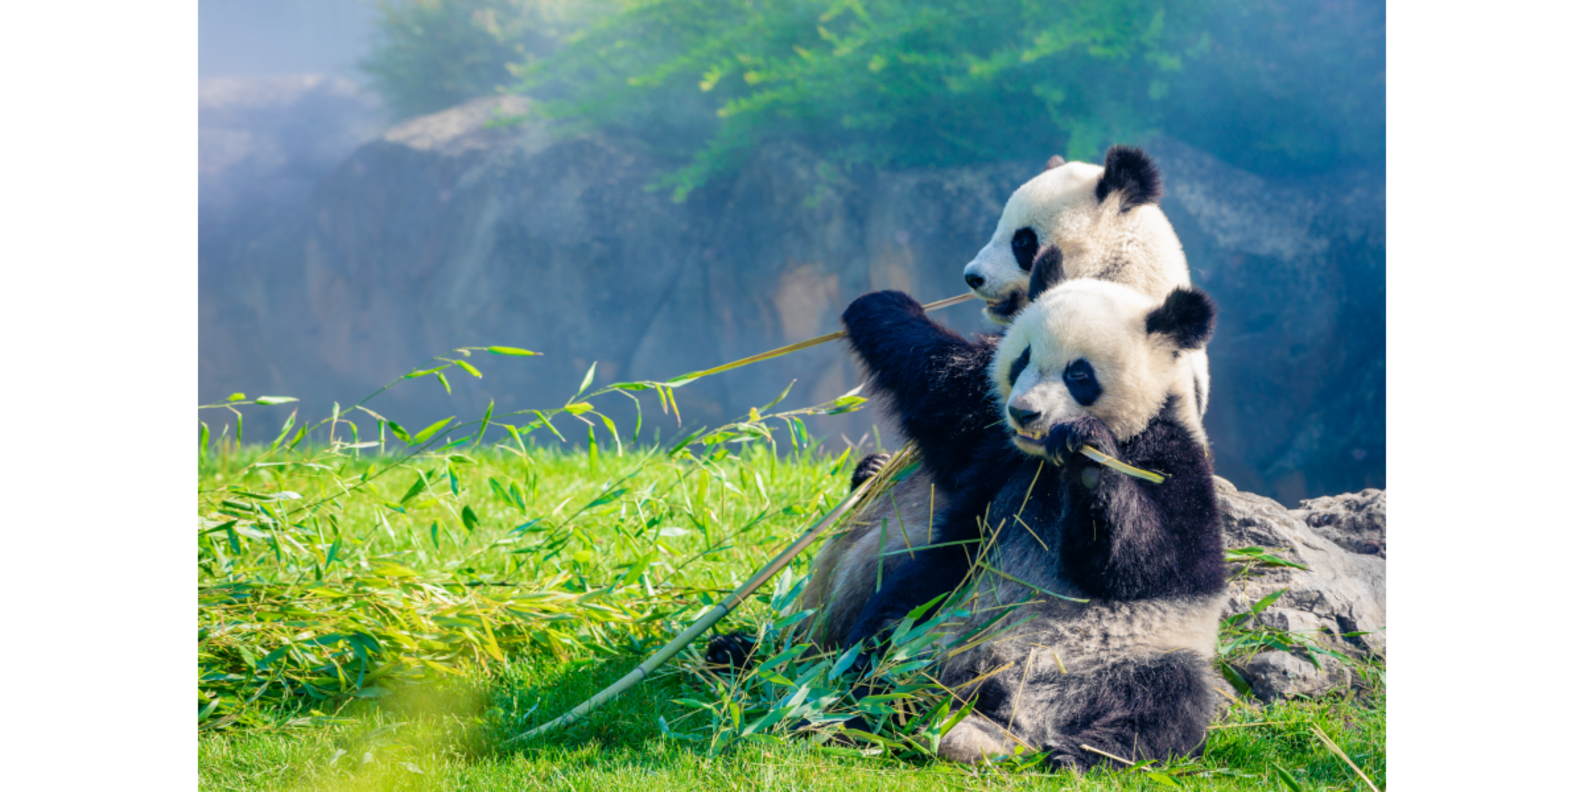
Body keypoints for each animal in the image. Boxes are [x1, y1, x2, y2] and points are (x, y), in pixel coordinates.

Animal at [795, 145, 1206, 653]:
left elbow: (959, 403)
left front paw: (879, 305)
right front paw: (871, 465)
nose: (971, 277)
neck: (1128, 276)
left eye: (1022, 241)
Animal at [836, 263, 1226, 771]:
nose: (1024, 413)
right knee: (889, 629)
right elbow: (944, 396)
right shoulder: (998, 455)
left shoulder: (1172, 455)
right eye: (1021, 360)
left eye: (1079, 373)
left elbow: (1153, 561)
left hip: (1136, 653)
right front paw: (879, 305)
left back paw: (1078, 753)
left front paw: (1088, 454)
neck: (1046, 463)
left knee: (1168, 701)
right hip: (939, 615)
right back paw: (865, 701)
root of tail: (1011, 710)